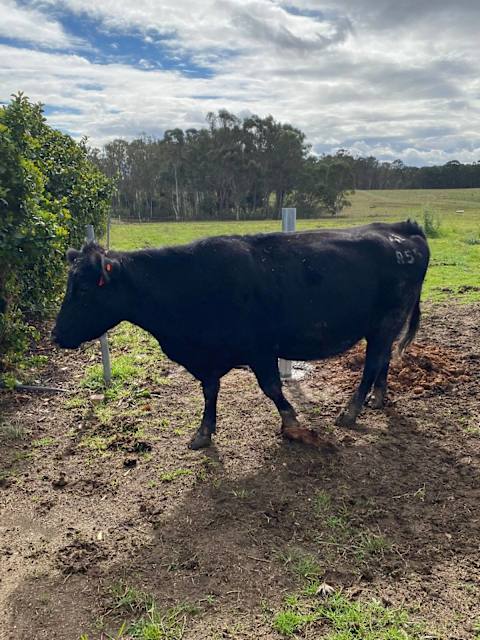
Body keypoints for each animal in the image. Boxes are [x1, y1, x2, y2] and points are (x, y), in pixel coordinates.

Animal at [52, 220, 429, 450]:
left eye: (83, 290)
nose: (56, 335)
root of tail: (400, 229)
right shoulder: (208, 357)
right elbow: (209, 391)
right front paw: (203, 432)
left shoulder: (260, 348)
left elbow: (272, 388)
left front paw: (293, 425)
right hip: (384, 326)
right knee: (383, 359)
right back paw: (377, 399)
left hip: (385, 321)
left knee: (372, 363)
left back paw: (351, 411)